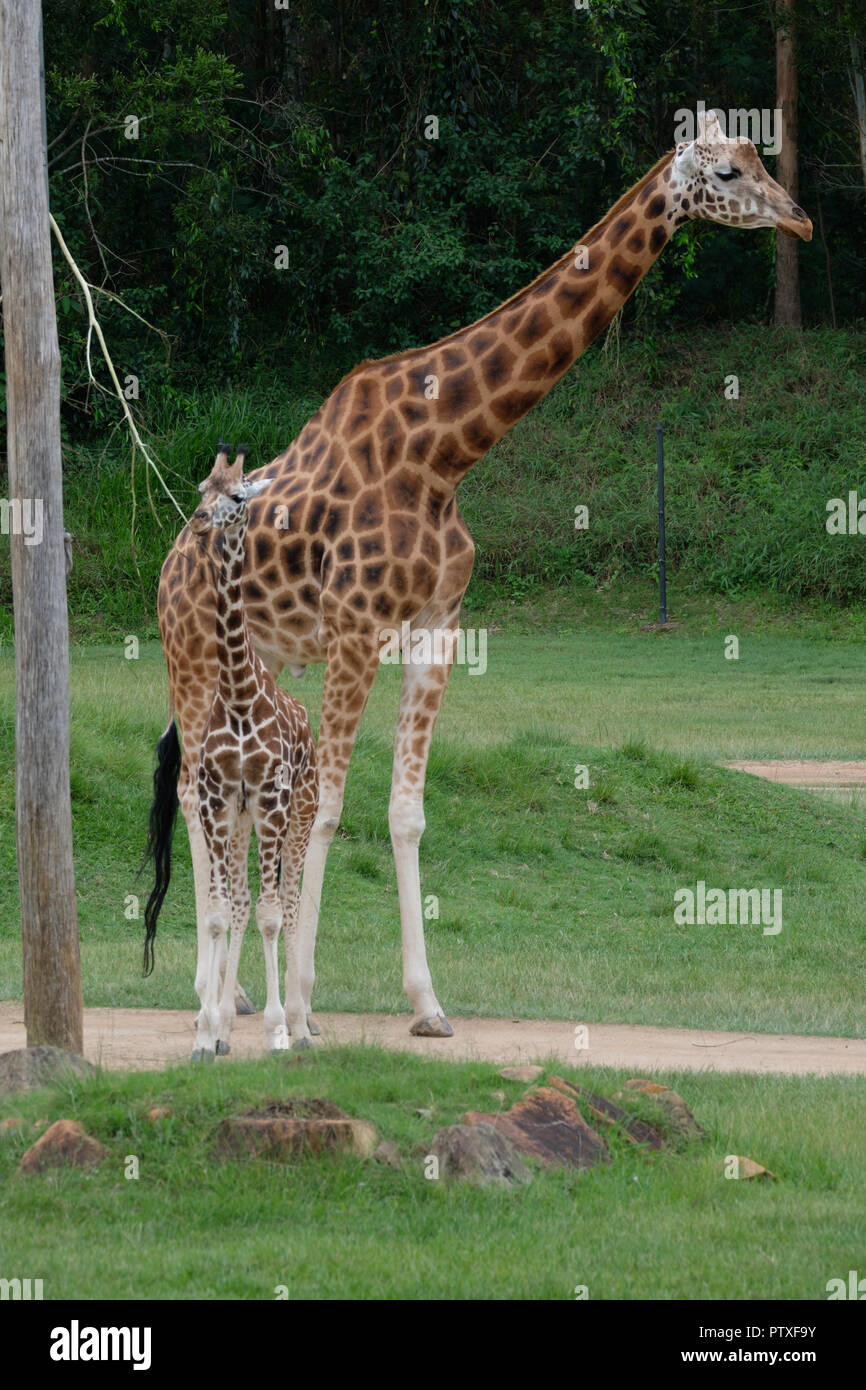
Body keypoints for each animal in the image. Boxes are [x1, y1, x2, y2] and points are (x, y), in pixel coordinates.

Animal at [144, 443, 318, 1060]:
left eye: (239, 496)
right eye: (200, 489)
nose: (199, 521)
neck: (241, 694)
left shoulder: (271, 800)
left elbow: (269, 914)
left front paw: (277, 1032)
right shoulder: (221, 804)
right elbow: (222, 912)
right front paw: (207, 1033)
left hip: (298, 816)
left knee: (286, 902)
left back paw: (301, 1025)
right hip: (244, 821)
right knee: (243, 902)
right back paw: (227, 1022)